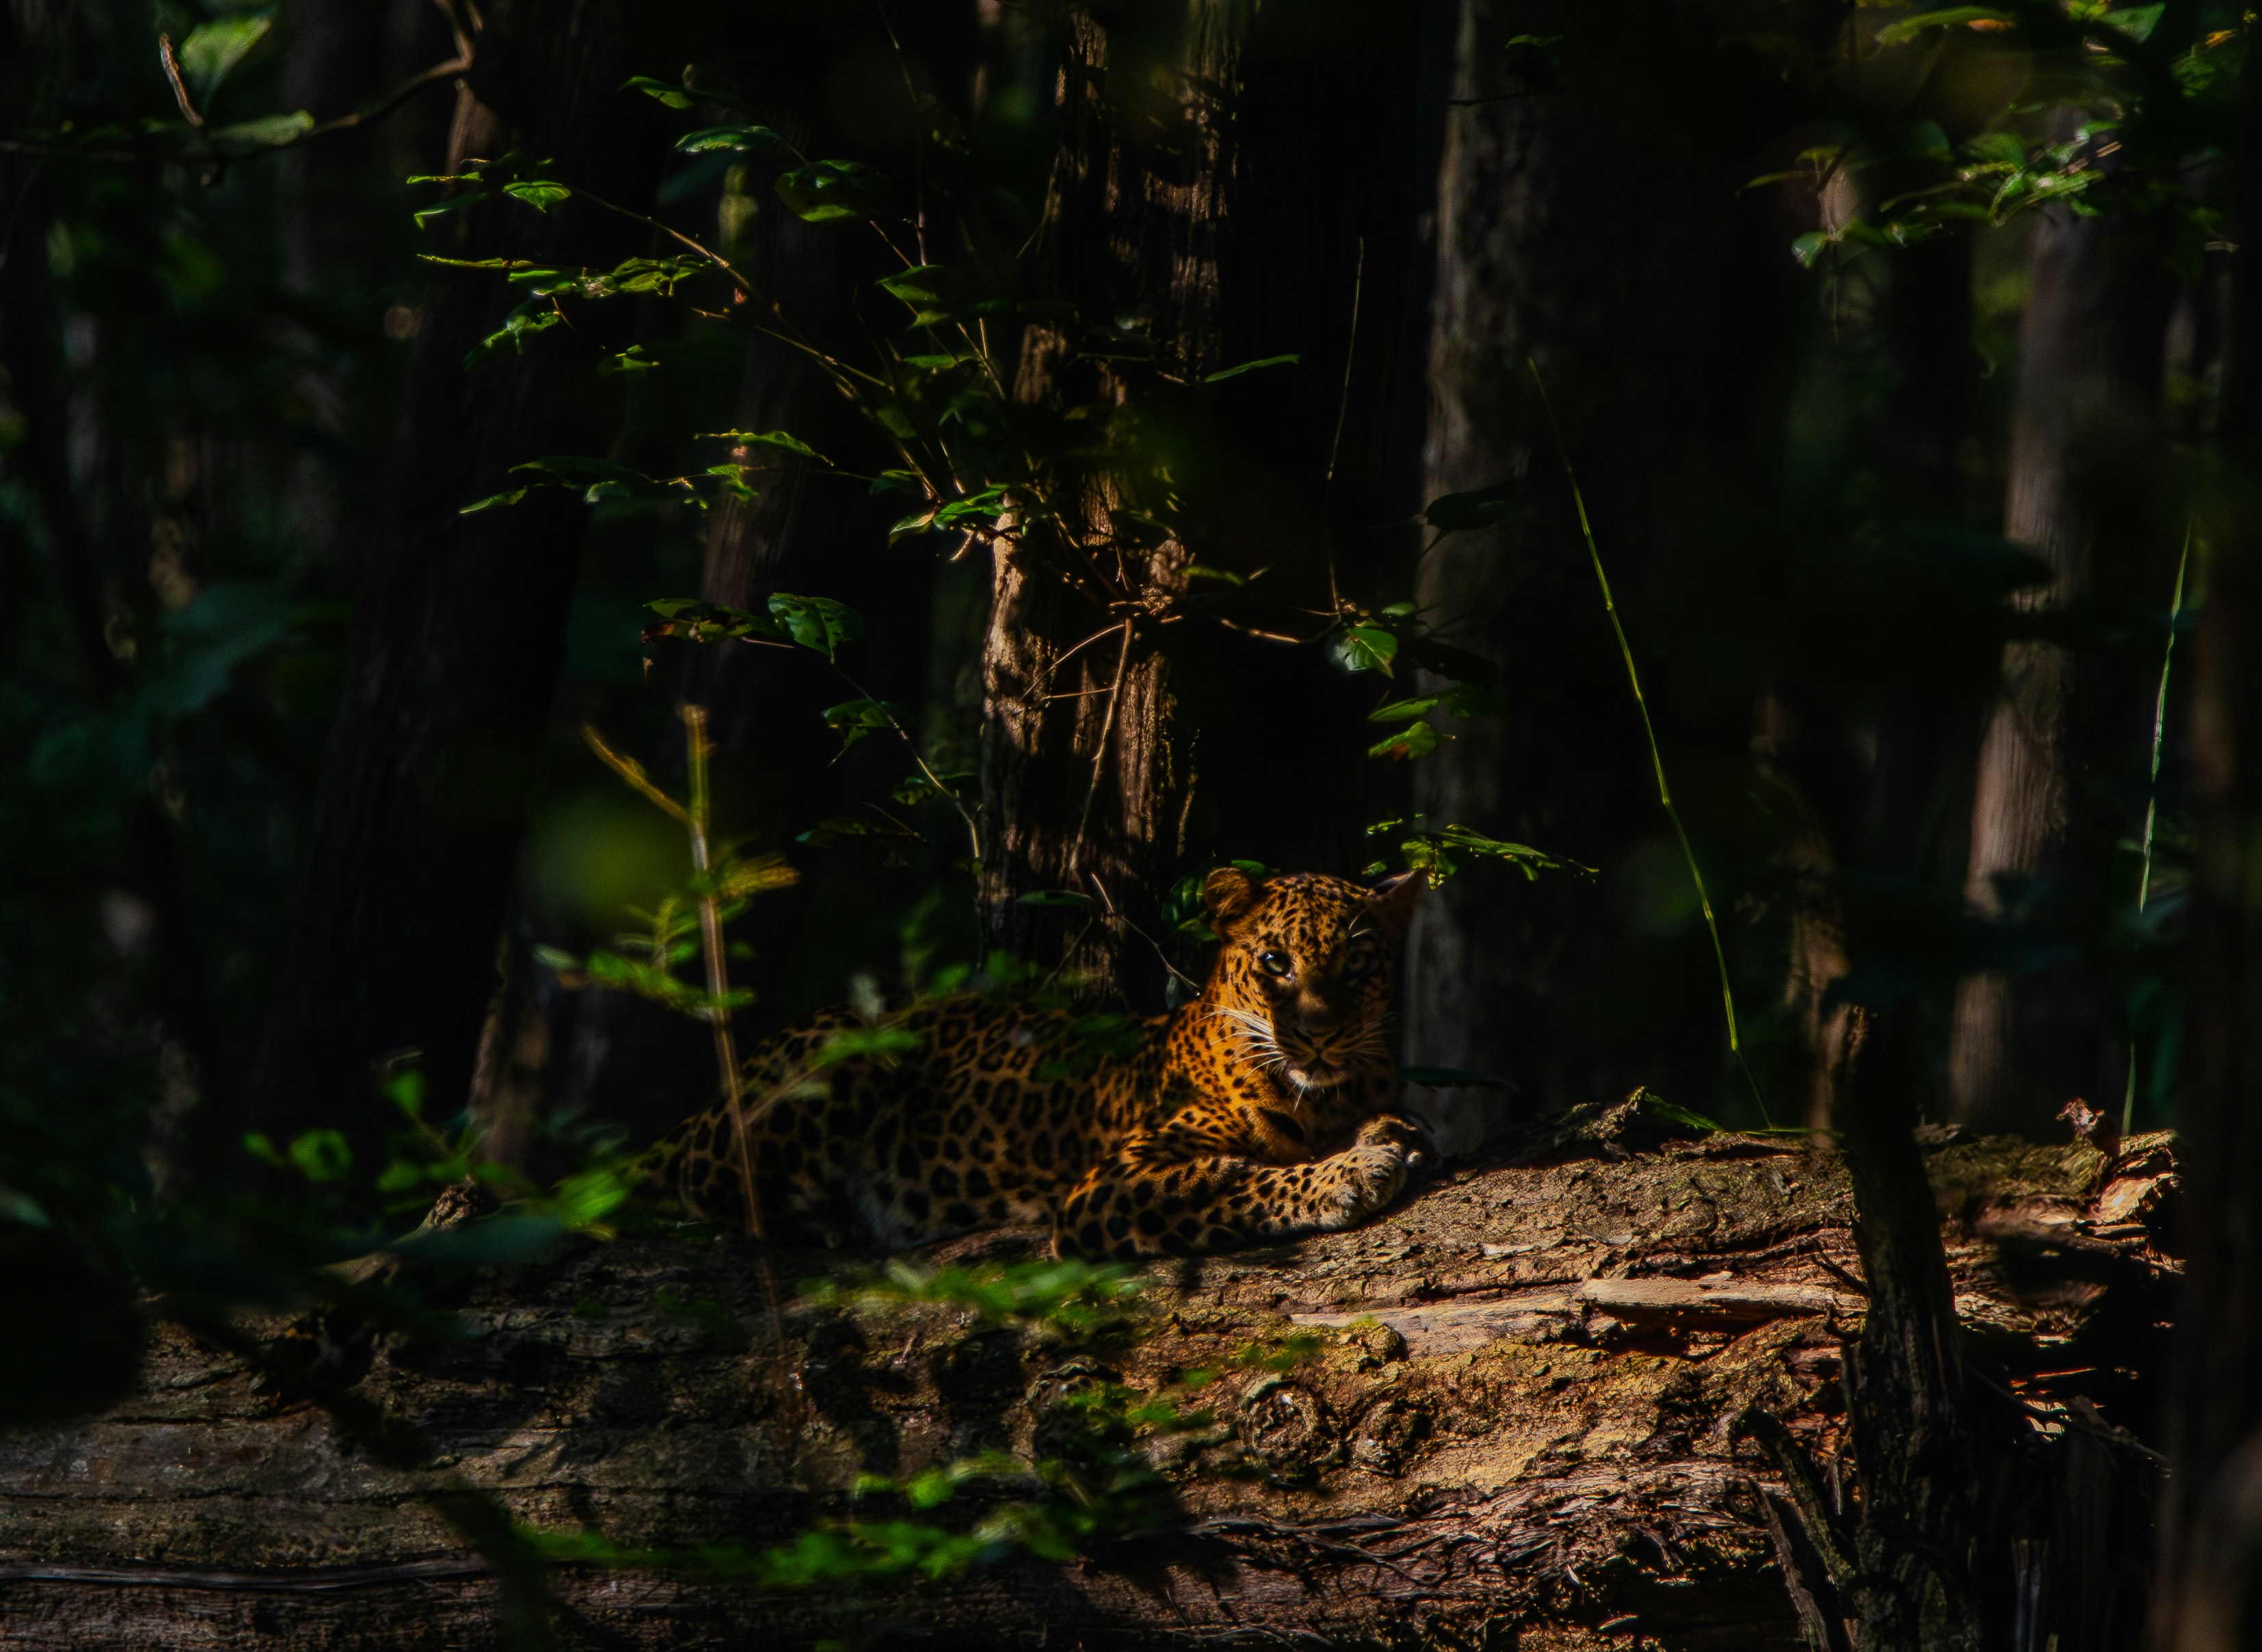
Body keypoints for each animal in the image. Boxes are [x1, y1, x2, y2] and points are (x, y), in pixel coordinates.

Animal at [640, 866, 1436, 1261]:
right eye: (1274, 961)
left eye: (1357, 964)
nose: (1319, 1034)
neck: (1320, 1097)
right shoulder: (1110, 1186)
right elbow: (1235, 1178)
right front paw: (1348, 1173)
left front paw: (1384, 1136)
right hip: (846, 1049)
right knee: (710, 1190)